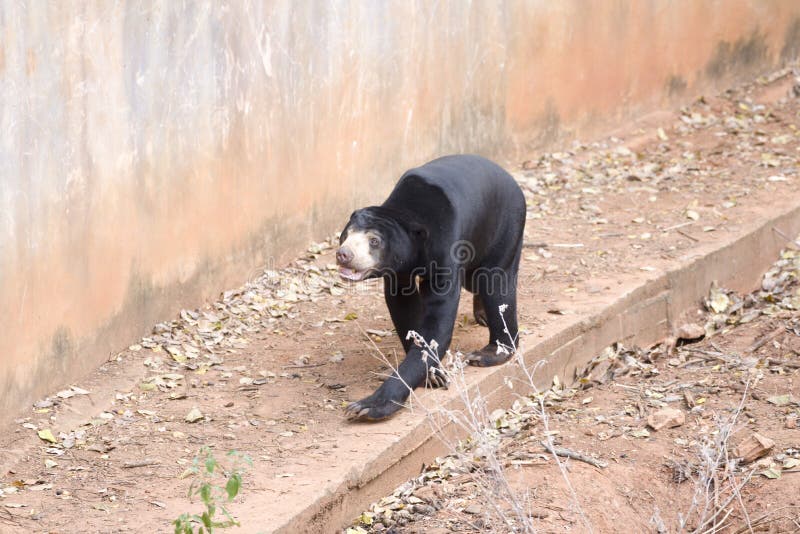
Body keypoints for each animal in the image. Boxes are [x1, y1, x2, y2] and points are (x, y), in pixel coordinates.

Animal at [336, 154, 526, 421]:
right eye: (346, 235)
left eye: (374, 241)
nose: (344, 255)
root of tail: (509, 176)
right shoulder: (398, 271)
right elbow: (404, 309)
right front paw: (433, 376)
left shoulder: (446, 245)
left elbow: (437, 322)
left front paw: (367, 406)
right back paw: (481, 314)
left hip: (505, 224)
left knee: (497, 283)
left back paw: (489, 352)